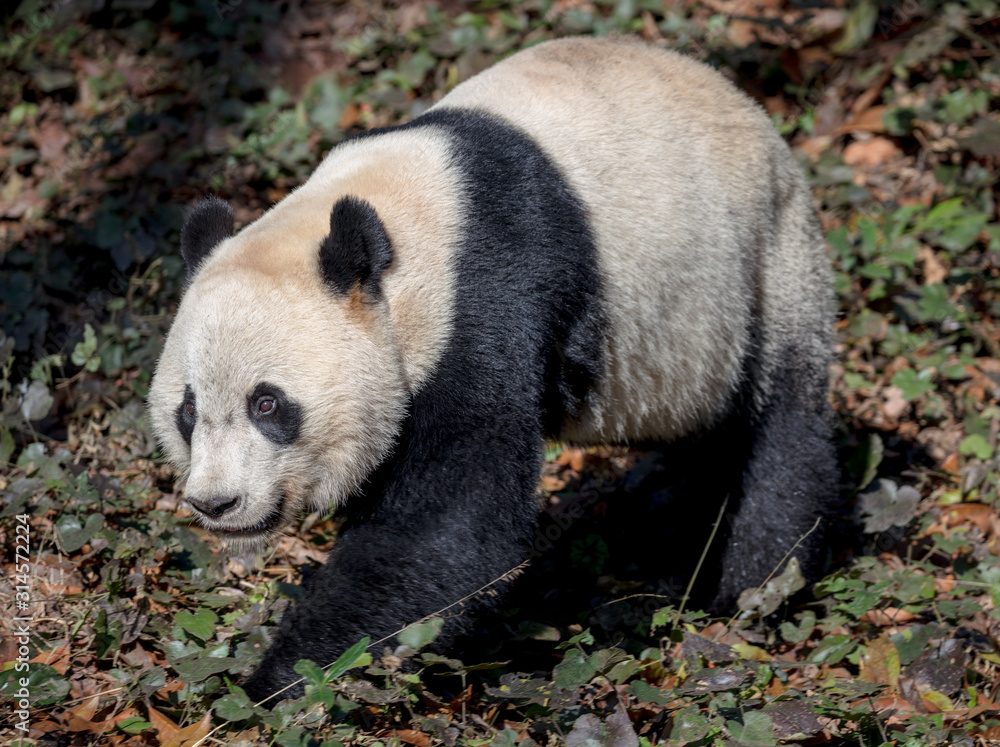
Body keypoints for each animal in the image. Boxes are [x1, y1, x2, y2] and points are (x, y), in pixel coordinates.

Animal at [148, 37, 837, 702]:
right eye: (188, 410)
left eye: (268, 404)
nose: (216, 503)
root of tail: (752, 111)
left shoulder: (484, 299)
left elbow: (449, 524)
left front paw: (279, 686)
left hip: (762, 263)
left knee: (781, 433)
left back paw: (751, 586)